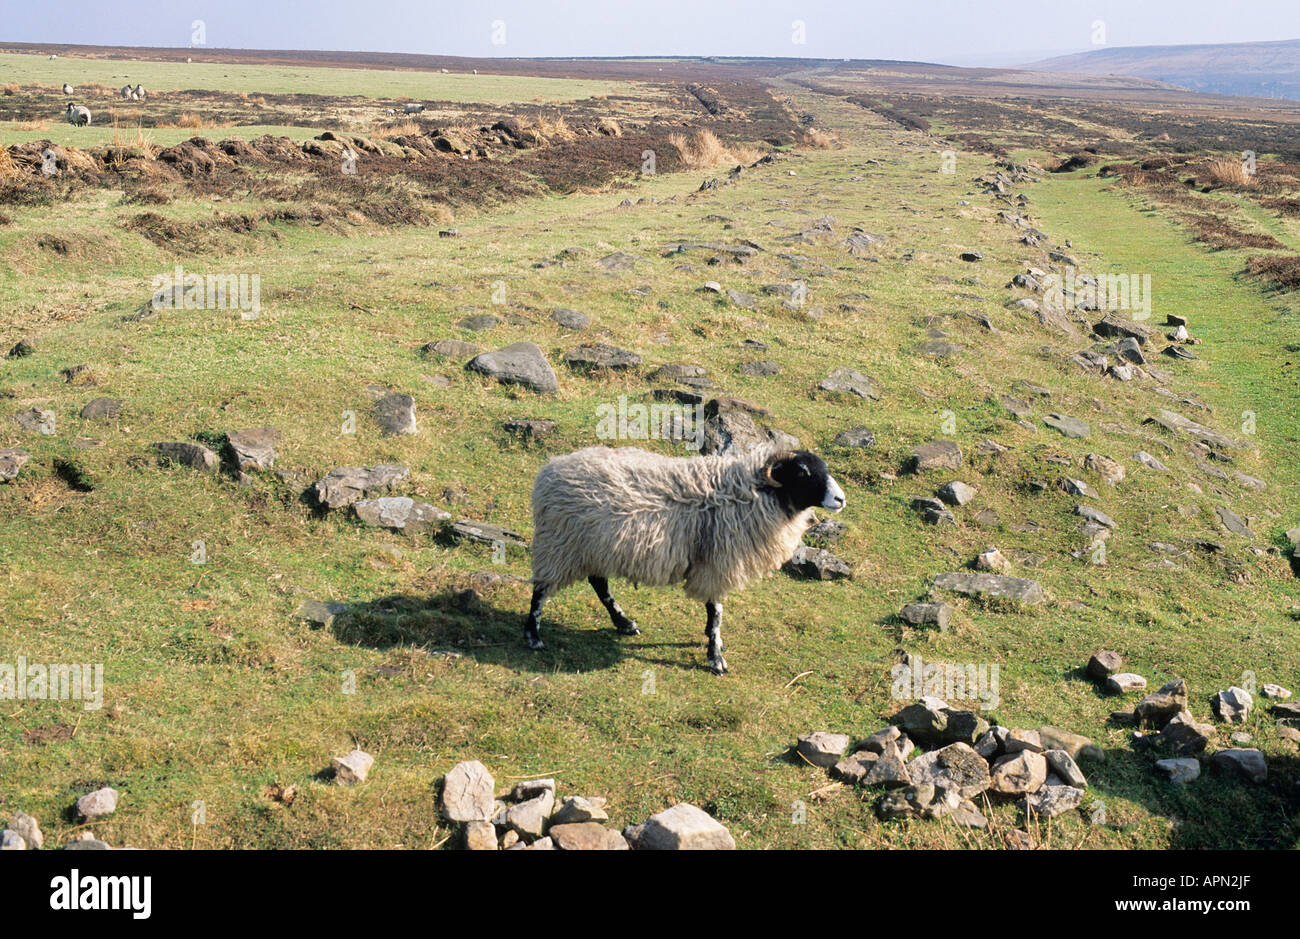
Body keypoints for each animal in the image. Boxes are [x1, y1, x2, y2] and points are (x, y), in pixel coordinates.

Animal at [525, 445, 846, 674]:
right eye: (802, 472)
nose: (840, 499)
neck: (751, 493)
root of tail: (550, 470)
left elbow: (713, 613)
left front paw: (714, 644)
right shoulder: (717, 564)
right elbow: (716, 612)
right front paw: (715, 657)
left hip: (593, 547)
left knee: (599, 583)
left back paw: (624, 623)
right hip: (560, 544)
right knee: (541, 590)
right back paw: (533, 636)